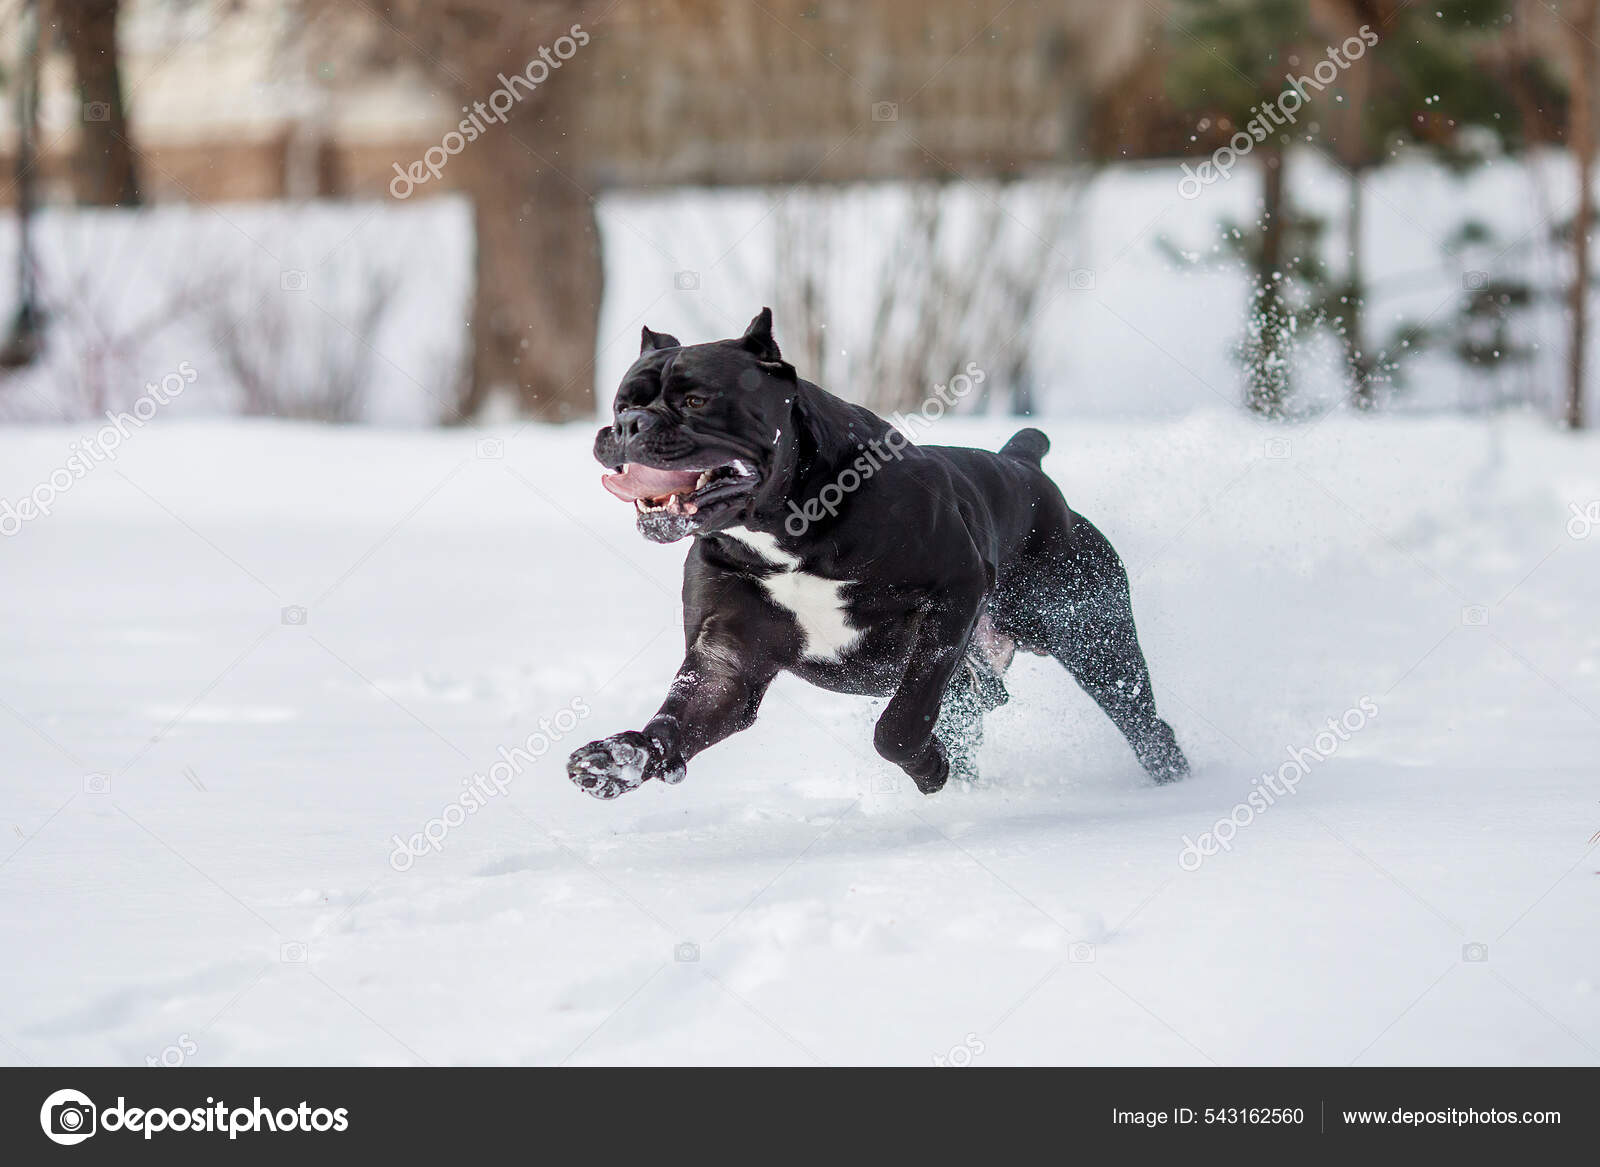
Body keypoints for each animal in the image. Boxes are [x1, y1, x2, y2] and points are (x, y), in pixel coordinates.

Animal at [566, 309, 1188, 798]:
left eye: (696, 400)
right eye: (620, 404)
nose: (629, 424)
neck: (787, 531)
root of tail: (1024, 464)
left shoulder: (950, 601)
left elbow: (901, 723)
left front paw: (928, 767)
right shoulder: (727, 659)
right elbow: (677, 716)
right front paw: (619, 757)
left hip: (1092, 637)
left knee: (1145, 723)